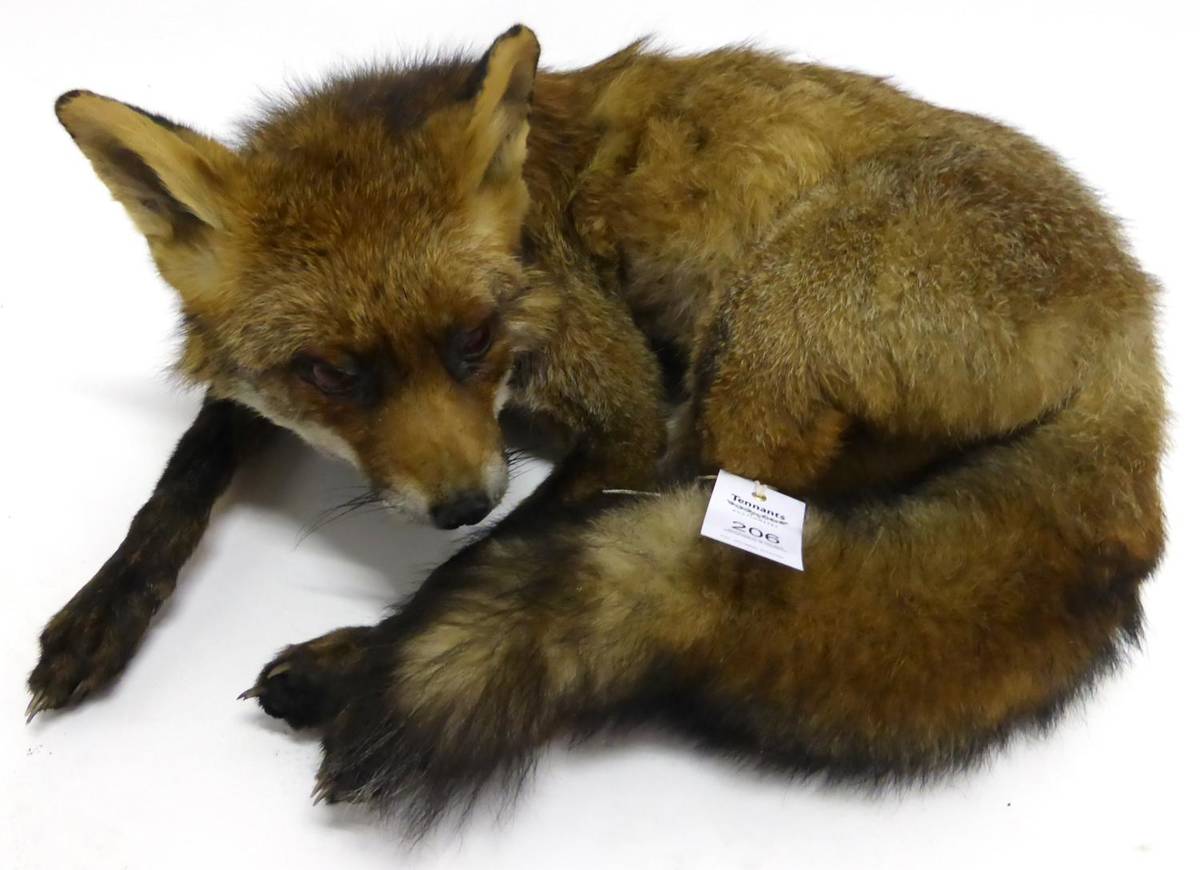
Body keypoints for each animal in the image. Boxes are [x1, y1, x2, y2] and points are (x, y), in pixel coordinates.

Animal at [29, 25, 1165, 833]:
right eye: (335, 374)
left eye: (474, 338)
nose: (461, 501)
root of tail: (1135, 319)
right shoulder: (255, 391)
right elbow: (184, 476)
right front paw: (100, 614)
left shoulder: (618, 401)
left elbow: (496, 549)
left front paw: (383, 636)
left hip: (760, 328)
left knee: (709, 548)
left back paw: (354, 664)